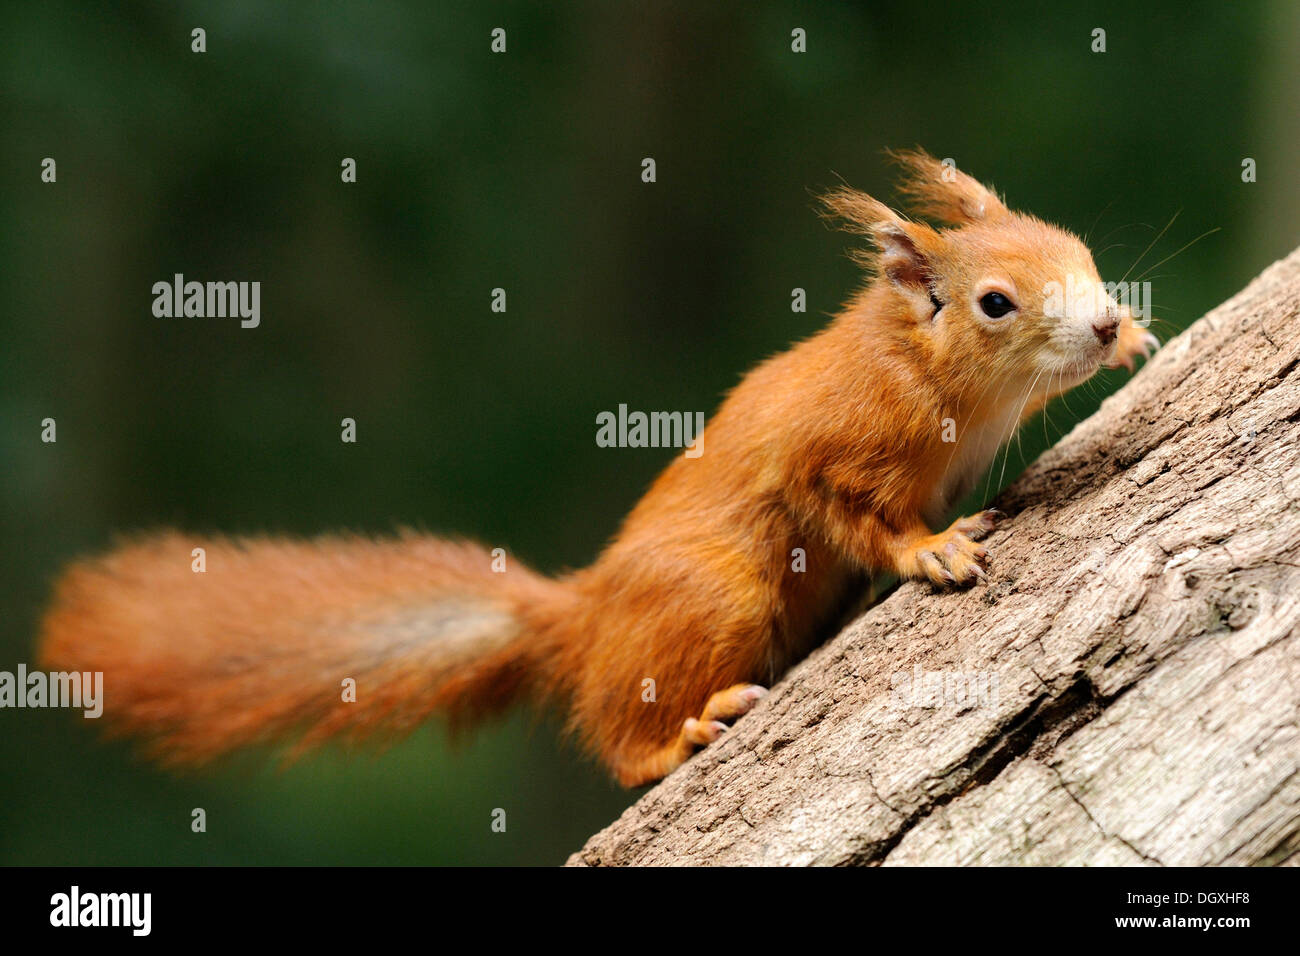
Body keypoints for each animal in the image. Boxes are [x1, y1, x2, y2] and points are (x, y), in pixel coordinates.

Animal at [37, 149, 1158, 787]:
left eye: (1072, 242)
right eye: (995, 303)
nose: (1103, 320)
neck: (936, 376)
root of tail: (582, 619)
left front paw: (1136, 339)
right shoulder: (837, 449)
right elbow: (857, 513)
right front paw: (931, 551)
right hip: (711, 597)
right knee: (622, 741)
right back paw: (687, 733)